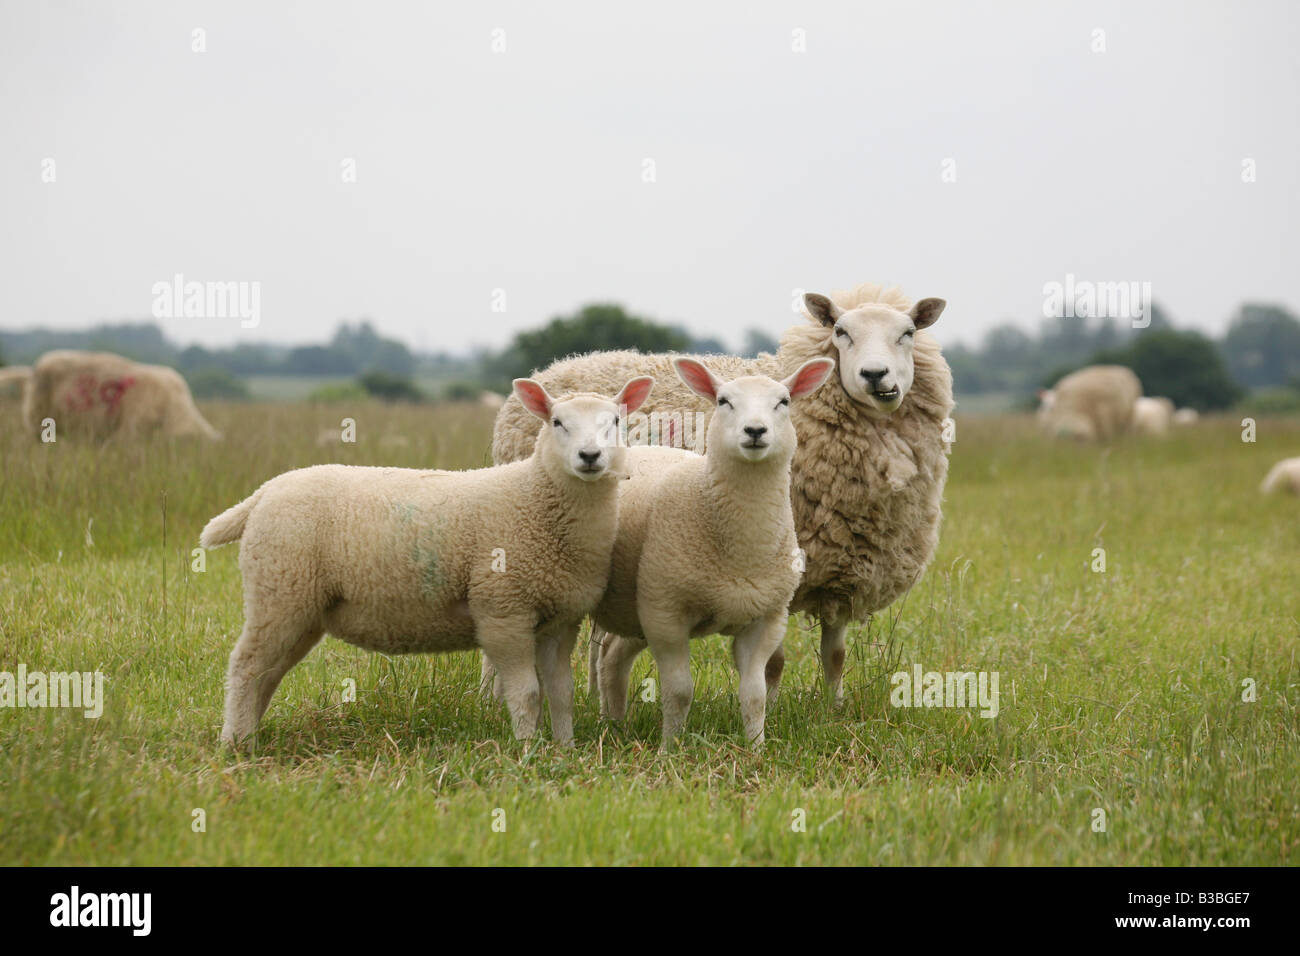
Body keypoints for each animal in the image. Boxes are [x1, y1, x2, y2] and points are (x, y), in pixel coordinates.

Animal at [199, 375, 654, 745]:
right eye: (557, 422)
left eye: (614, 421)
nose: (590, 456)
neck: (535, 496)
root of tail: (264, 492)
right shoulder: (502, 612)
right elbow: (526, 694)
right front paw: (529, 751)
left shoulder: (560, 619)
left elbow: (561, 693)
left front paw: (565, 749)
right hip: (278, 590)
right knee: (246, 667)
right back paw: (235, 744)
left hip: (301, 606)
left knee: (268, 673)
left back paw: (251, 734)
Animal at [487, 283, 953, 707]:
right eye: (841, 331)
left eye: (909, 332)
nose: (875, 376)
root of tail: (557, 367)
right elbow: (773, 662)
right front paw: (774, 708)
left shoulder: (841, 568)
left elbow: (834, 655)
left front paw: (834, 711)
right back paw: (493, 696)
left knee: (599, 638)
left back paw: (591, 695)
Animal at [591, 357, 835, 747]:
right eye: (724, 401)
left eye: (783, 401)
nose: (755, 430)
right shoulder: (665, 615)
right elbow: (679, 692)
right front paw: (670, 748)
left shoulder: (766, 619)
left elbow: (755, 694)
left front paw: (756, 748)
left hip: (630, 611)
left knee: (611, 656)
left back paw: (614, 726)